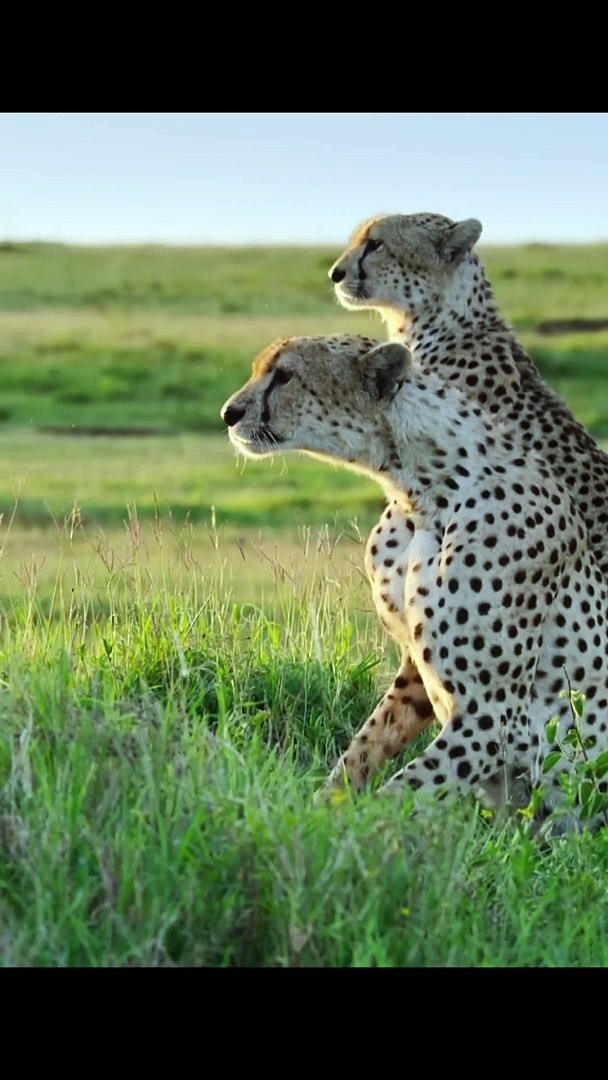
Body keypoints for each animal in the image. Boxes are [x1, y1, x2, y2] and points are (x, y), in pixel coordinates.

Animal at [220, 333, 608, 826]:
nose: (229, 413)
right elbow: (361, 751)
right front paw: (316, 815)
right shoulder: (415, 672)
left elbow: (399, 797)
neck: (422, 490)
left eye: (285, 375)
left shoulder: (494, 717)